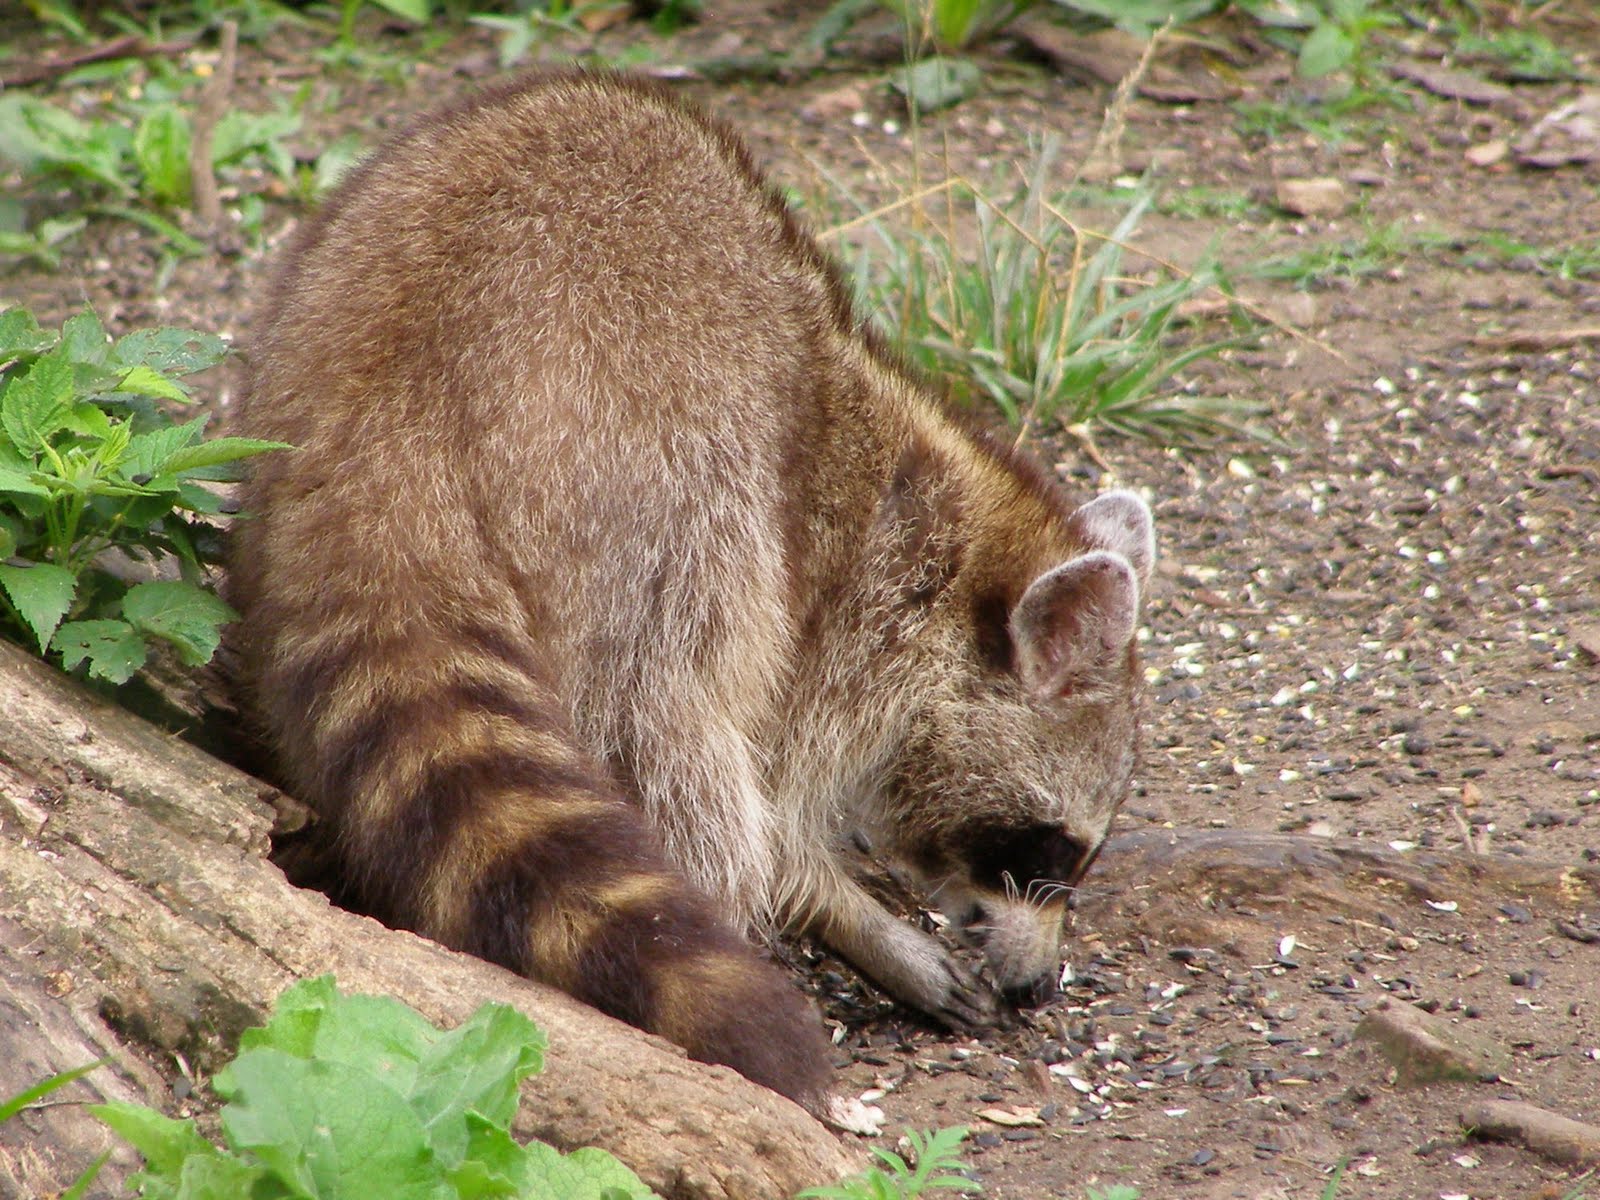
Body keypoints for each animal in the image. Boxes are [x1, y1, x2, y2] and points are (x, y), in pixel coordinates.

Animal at [229, 69, 1155, 1112]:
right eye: (1052, 850)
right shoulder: (854, 602)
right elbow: (757, 780)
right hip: (665, 463)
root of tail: (391, 411)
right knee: (668, 716)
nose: (1040, 988)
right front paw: (834, 904)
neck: (964, 542)